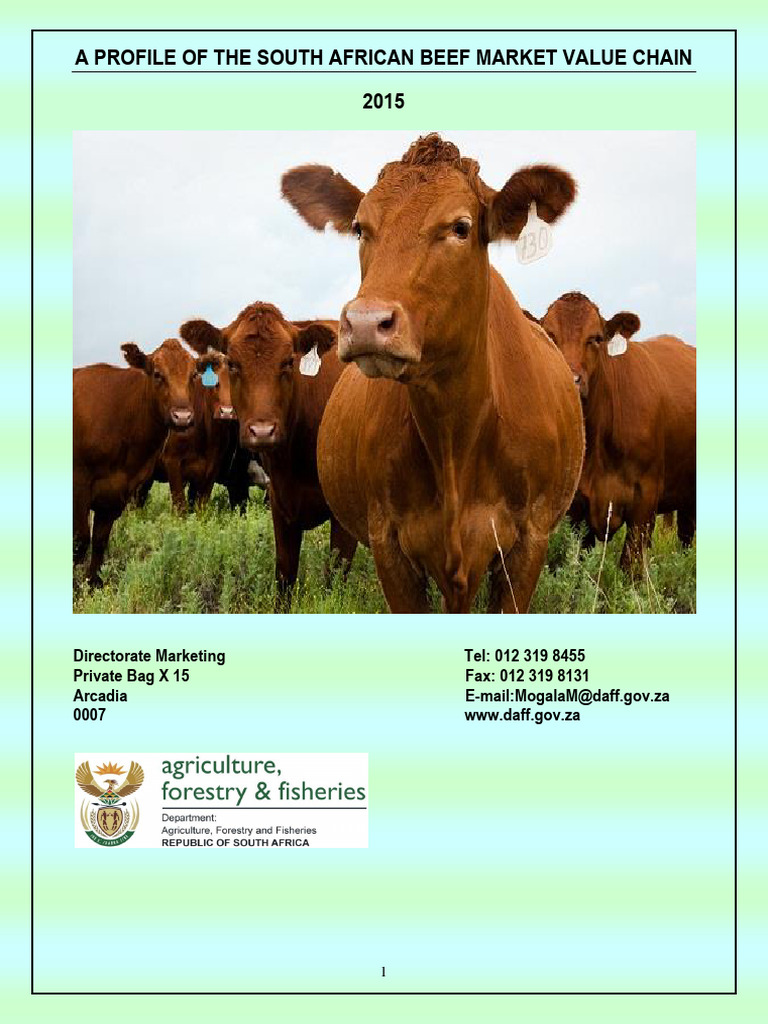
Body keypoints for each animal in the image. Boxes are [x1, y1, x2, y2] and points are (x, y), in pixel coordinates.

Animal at [73, 338, 198, 587]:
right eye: (158, 374)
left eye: (193, 375)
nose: (182, 417)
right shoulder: (79, 484)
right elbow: (80, 542)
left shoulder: (116, 494)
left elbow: (99, 542)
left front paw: (91, 586)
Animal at [180, 304, 357, 602]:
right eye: (232, 363)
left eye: (288, 362)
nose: (262, 432)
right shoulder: (278, 500)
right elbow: (284, 576)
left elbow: (336, 580)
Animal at [281, 133, 584, 613]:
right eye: (360, 228)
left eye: (460, 227)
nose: (365, 322)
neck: (453, 433)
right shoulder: (387, 541)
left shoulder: (529, 542)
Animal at [539, 292, 696, 564]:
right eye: (550, 336)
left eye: (596, 338)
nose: (571, 381)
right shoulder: (577, 508)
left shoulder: (645, 502)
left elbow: (630, 565)